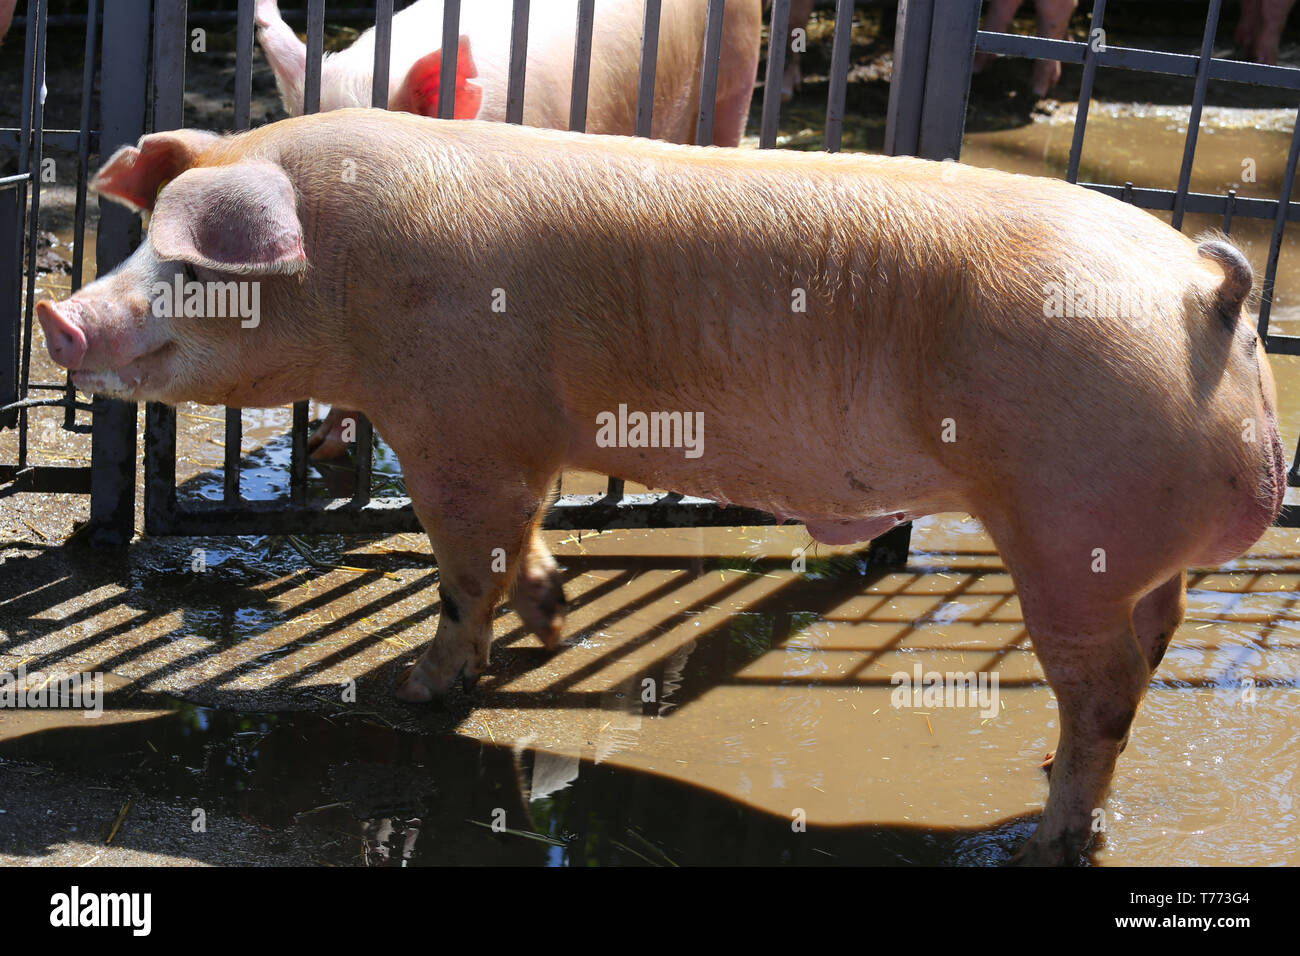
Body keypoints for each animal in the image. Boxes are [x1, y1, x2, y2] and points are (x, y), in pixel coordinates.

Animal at [38, 110, 1283, 864]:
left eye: (190, 265)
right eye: (139, 242)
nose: (59, 314)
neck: (353, 276)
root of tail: (1203, 287)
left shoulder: (454, 429)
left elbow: (465, 566)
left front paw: (418, 688)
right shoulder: (518, 435)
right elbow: (527, 537)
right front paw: (555, 619)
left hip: (1069, 531)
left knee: (1106, 684)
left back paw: (1046, 837)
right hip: (1126, 549)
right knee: (1152, 638)